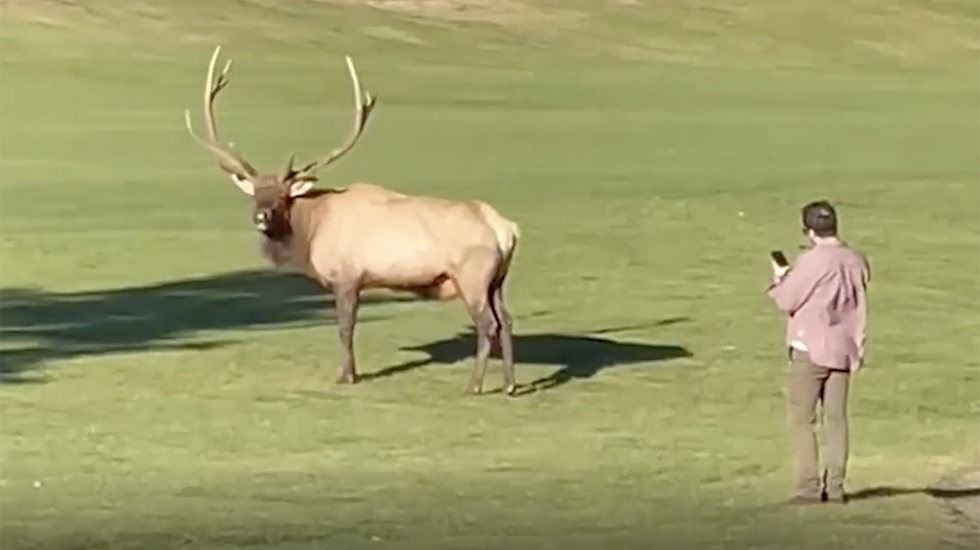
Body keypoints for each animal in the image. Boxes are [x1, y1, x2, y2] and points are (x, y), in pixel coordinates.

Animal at [183, 46, 521, 396]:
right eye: (255, 195)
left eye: (282, 197)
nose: (261, 217)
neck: (311, 234)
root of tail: (507, 230)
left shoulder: (347, 277)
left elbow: (345, 328)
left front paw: (346, 375)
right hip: (497, 279)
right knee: (507, 320)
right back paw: (510, 384)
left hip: (472, 275)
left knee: (488, 324)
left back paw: (475, 385)